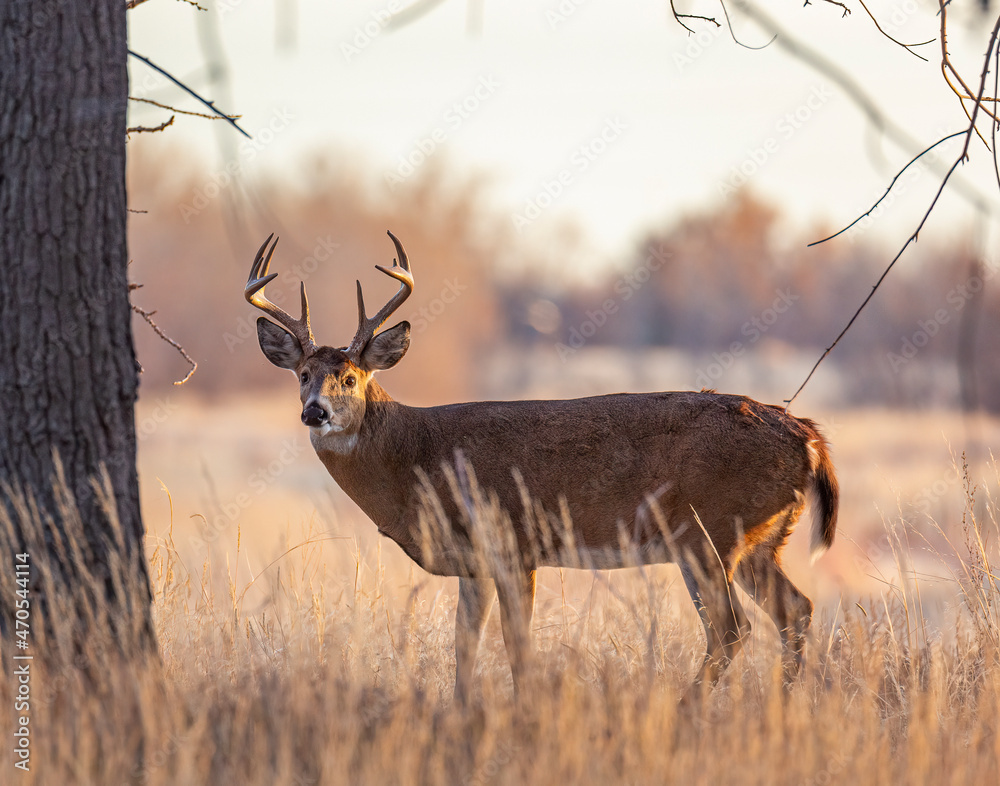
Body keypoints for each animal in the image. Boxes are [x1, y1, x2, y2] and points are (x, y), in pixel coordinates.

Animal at [244, 231, 839, 701]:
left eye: (350, 378)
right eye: (302, 375)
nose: (314, 411)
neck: (417, 455)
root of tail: (808, 438)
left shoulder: (513, 542)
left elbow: (518, 646)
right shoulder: (475, 563)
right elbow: (465, 648)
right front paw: (463, 714)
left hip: (707, 531)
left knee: (733, 628)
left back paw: (690, 709)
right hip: (760, 539)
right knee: (797, 610)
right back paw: (784, 705)